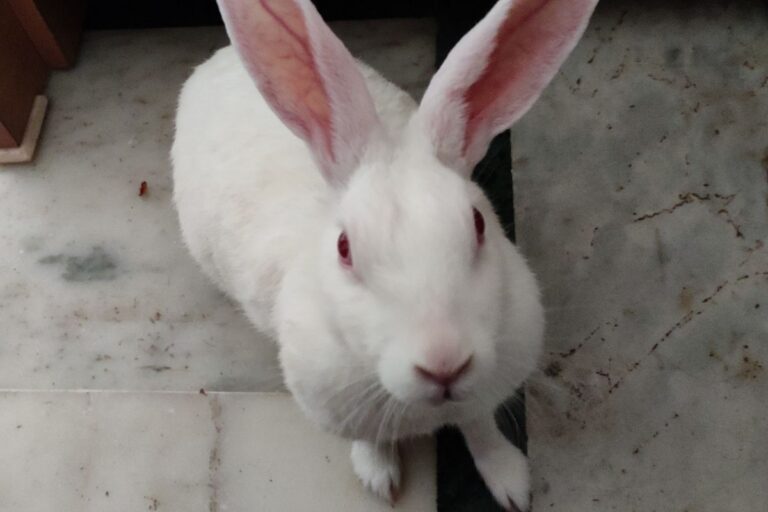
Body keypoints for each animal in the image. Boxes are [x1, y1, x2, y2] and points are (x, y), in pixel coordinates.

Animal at [172, 0, 598, 509]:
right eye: (345, 248)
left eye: (478, 224)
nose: (444, 364)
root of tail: (219, 59)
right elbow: (371, 442)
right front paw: (380, 481)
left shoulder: (485, 394)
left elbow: (481, 431)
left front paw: (513, 486)